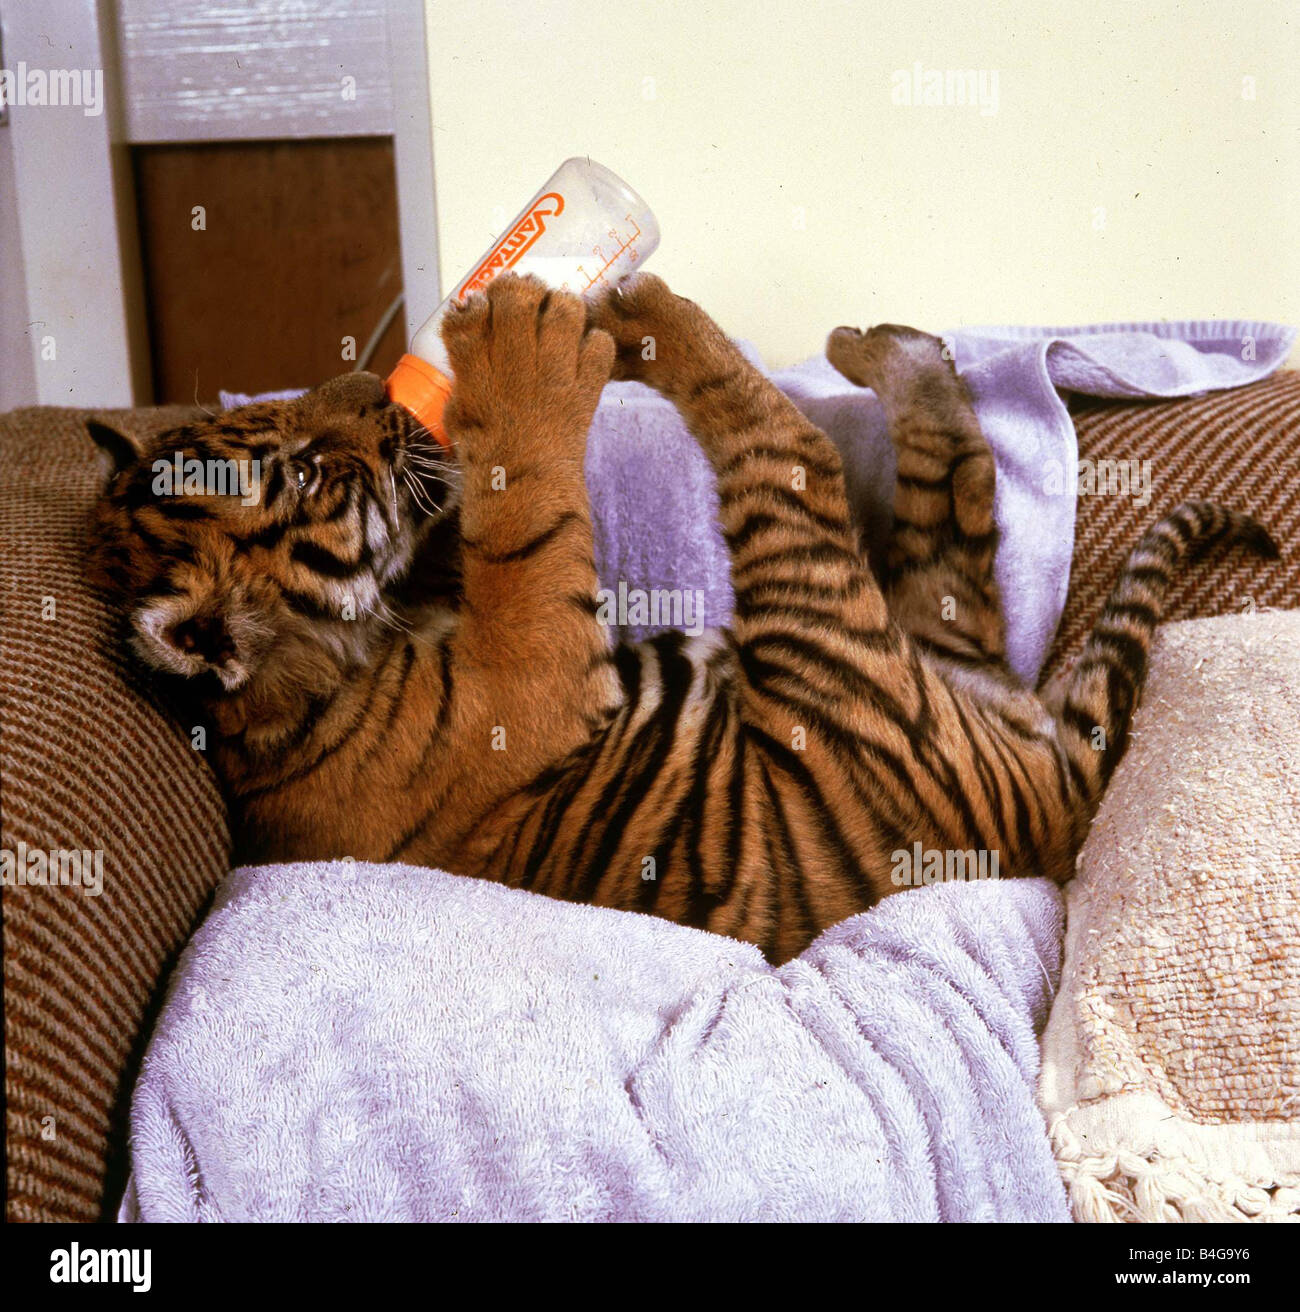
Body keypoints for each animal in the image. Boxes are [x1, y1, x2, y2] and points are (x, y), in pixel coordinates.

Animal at [87, 272, 1278, 963]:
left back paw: (880, 343)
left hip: (926, 613)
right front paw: (526, 348)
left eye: (301, 424)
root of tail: (1059, 790)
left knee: (957, 470)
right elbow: (526, 529)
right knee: (792, 447)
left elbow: (486, 525)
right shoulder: (522, 683)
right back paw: (658, 317)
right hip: (838, 641)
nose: (380, 400)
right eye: (296, 468)